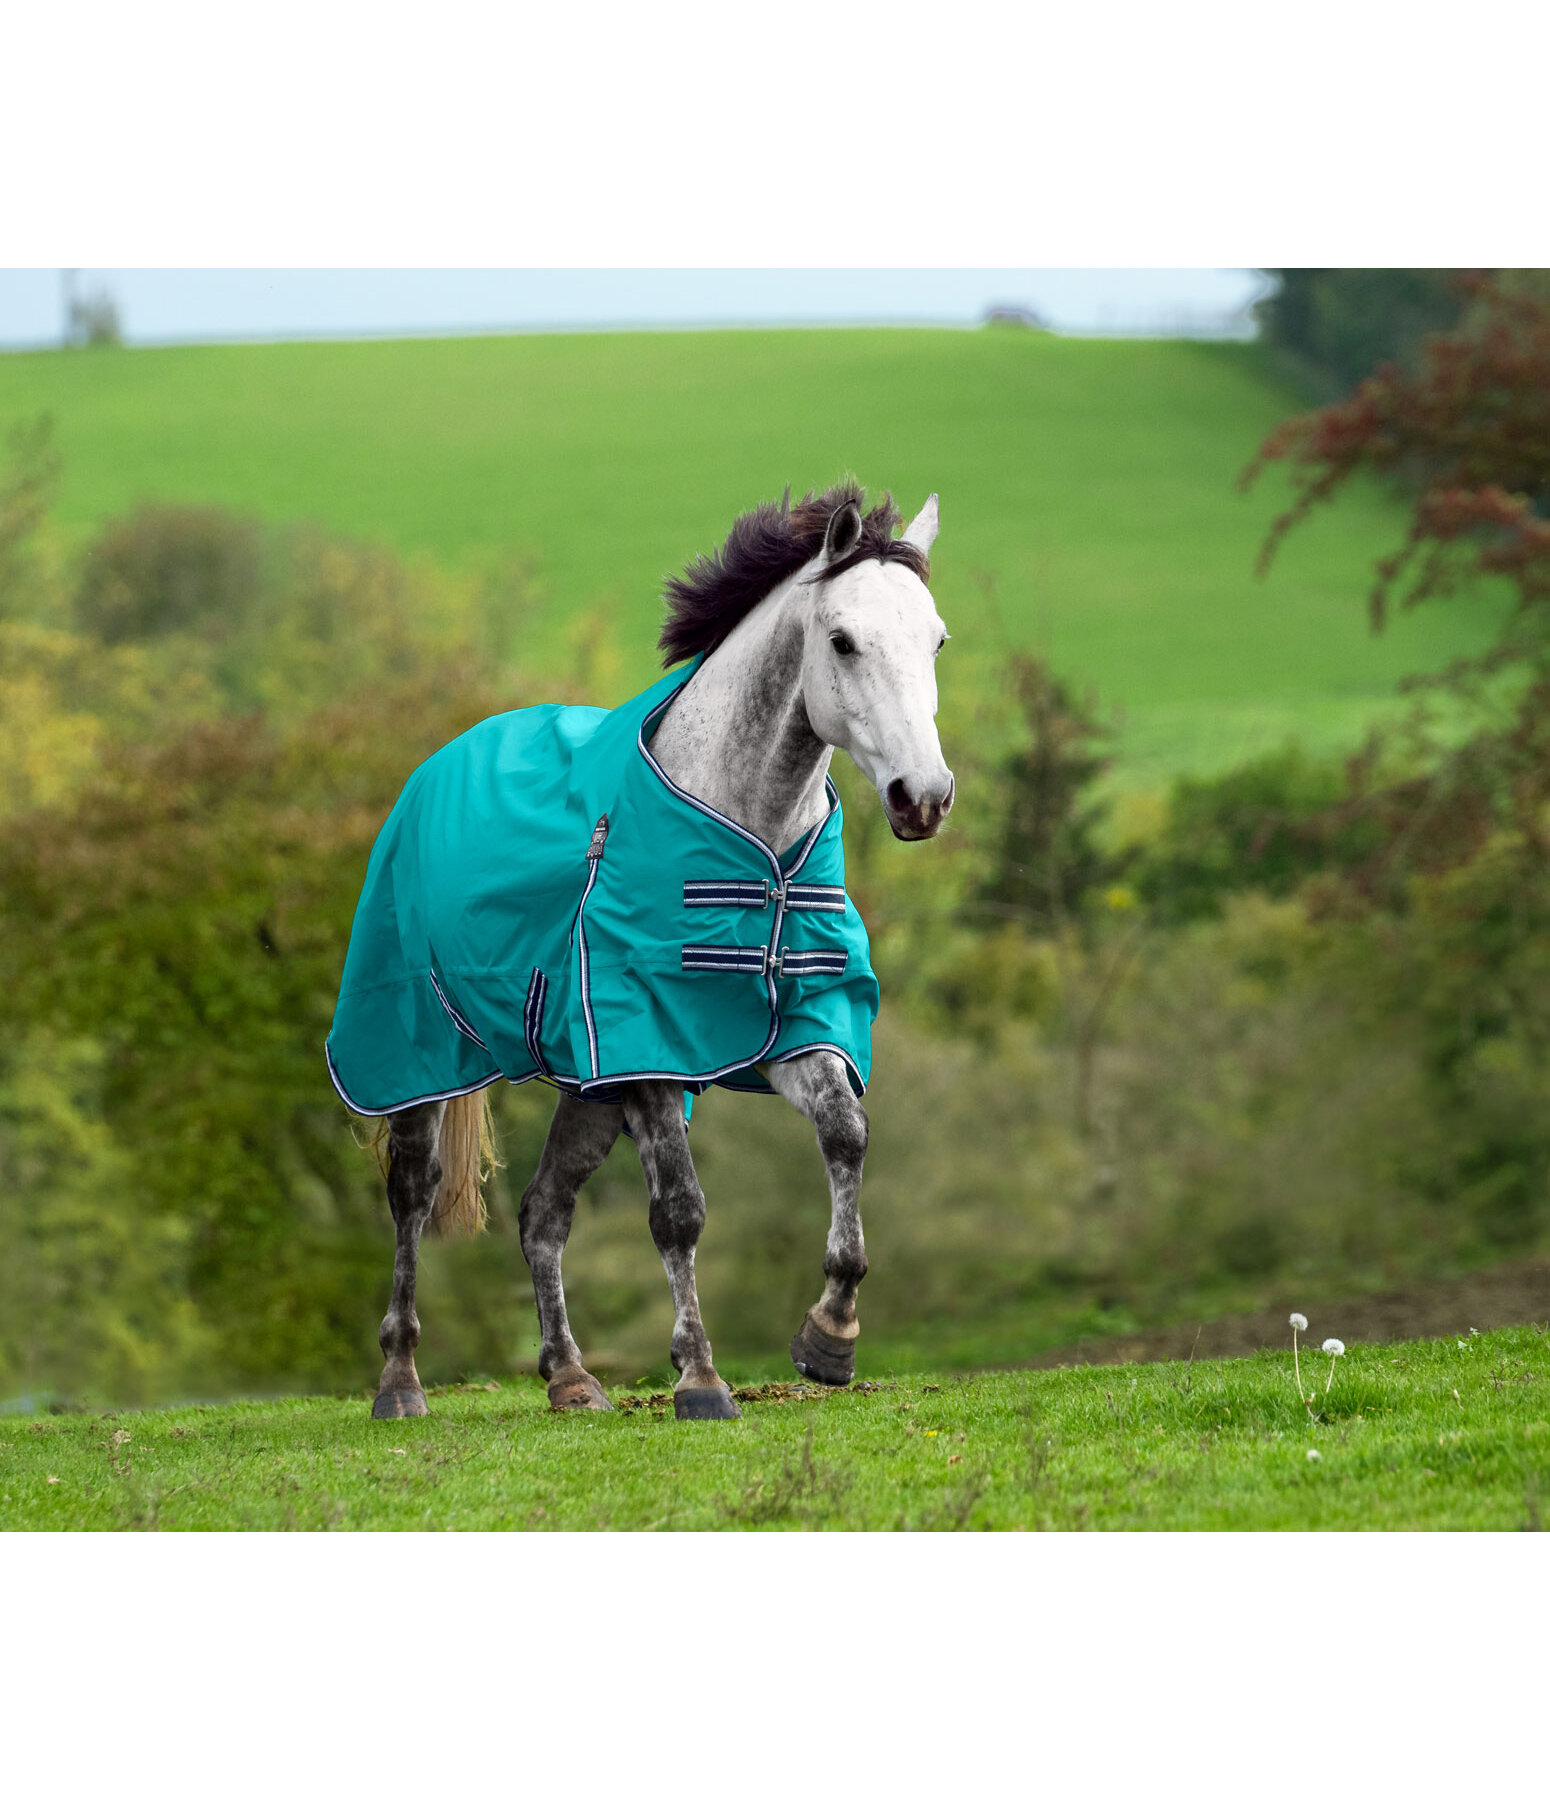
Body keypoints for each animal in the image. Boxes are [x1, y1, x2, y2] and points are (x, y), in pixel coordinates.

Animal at [328, 480, 954, 1421]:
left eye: (937, 639)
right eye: (843, 640)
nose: (925, 797)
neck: (752, 836)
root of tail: (435, 767)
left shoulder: (792, 1025)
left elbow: (848, 1135)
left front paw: (830, 1337)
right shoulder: (649, 1040)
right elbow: (680, 1212)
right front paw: (700, 1378)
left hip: (590, 1086)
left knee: (542, 1212)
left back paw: (570, 1377)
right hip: (419, 1052)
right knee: (411, 1192)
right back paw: (400, 1382)